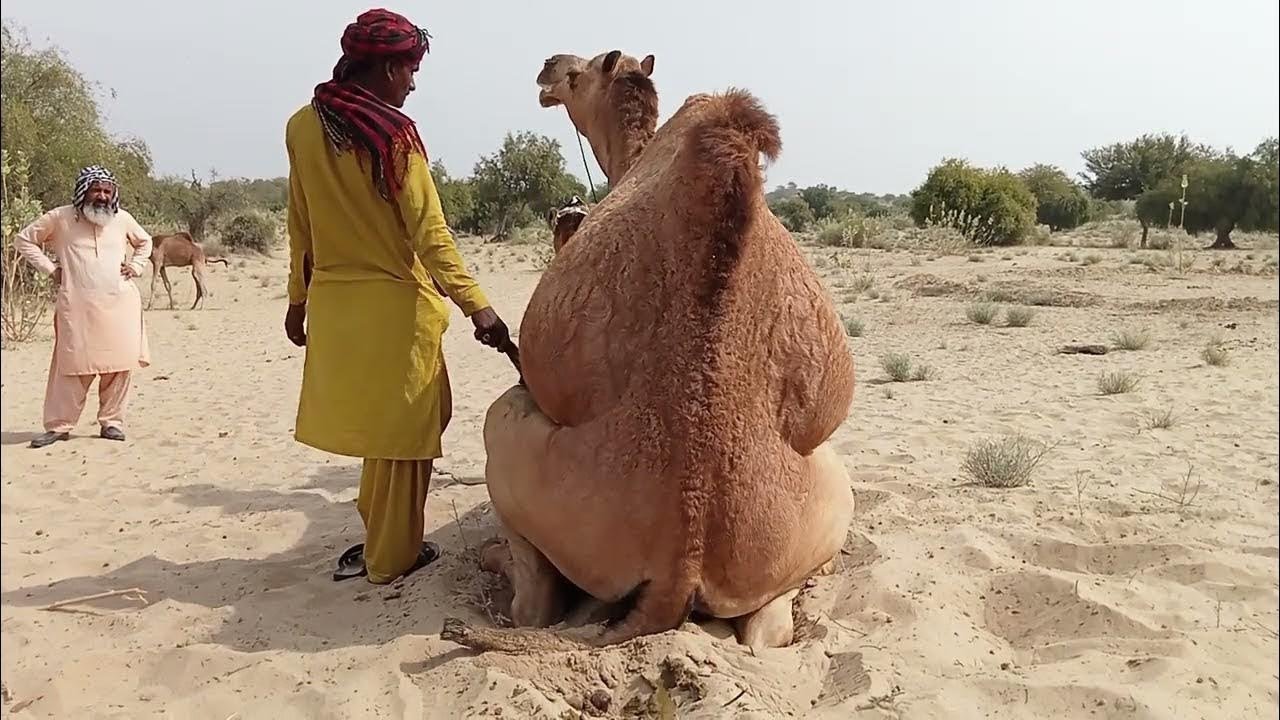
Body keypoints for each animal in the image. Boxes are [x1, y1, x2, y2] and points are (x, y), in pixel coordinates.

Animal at [442, 51, 856, 654]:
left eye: (577, 75)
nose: (546, 67)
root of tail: (677, 567)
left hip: (525, 458)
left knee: (534, 604)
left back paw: (496, 564)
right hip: (818, 507)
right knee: (768, 631)